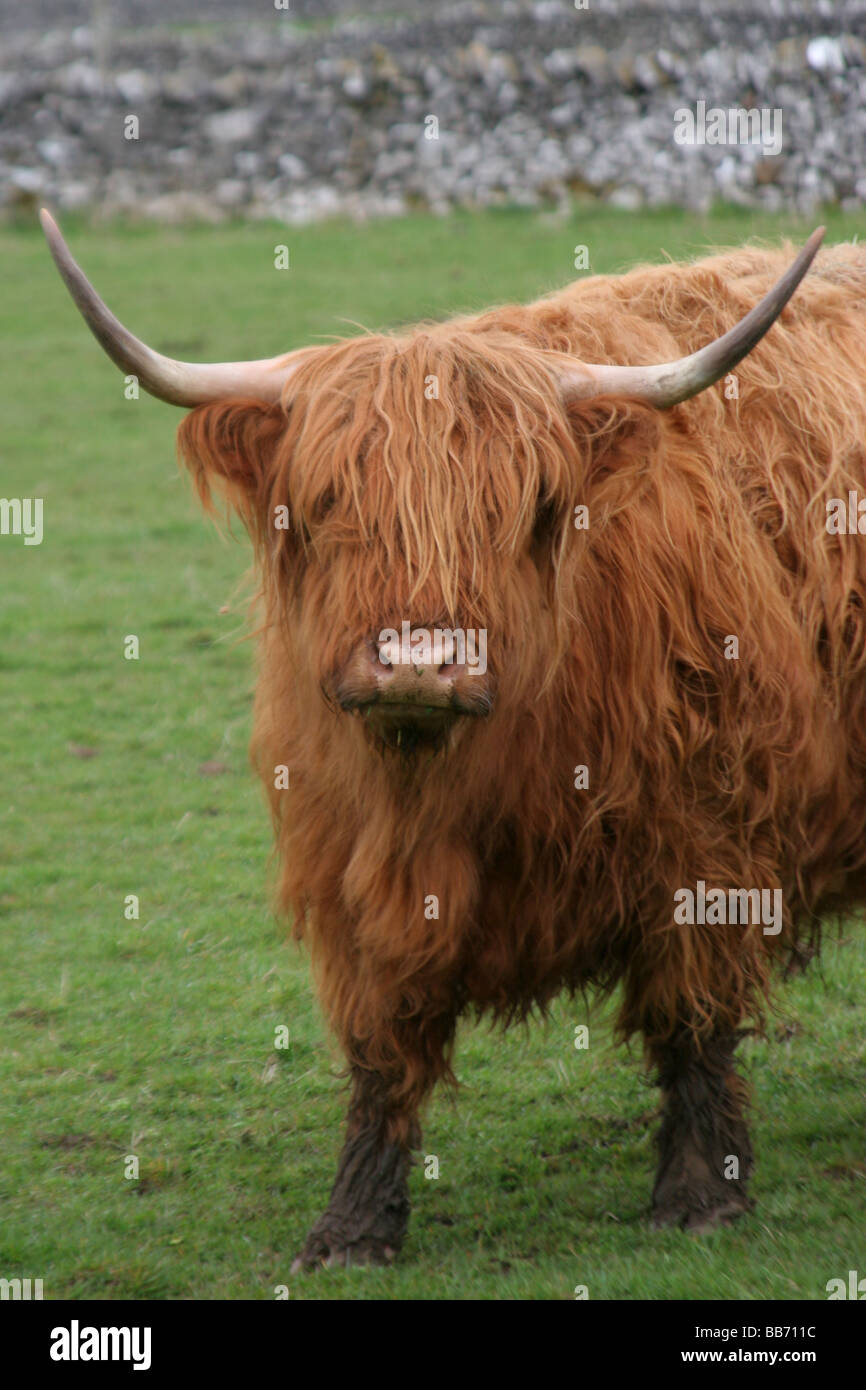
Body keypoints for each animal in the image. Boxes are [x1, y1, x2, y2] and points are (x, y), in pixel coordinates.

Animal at [42, 210, 866, 1268]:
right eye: (326, 505)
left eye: (526, 509)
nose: (418, 662)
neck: (448, 795)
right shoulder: (349, 871)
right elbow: (382, 1052)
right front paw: (352, 1226)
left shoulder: (709, 841)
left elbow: (693, 1022)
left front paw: (698, 1195)